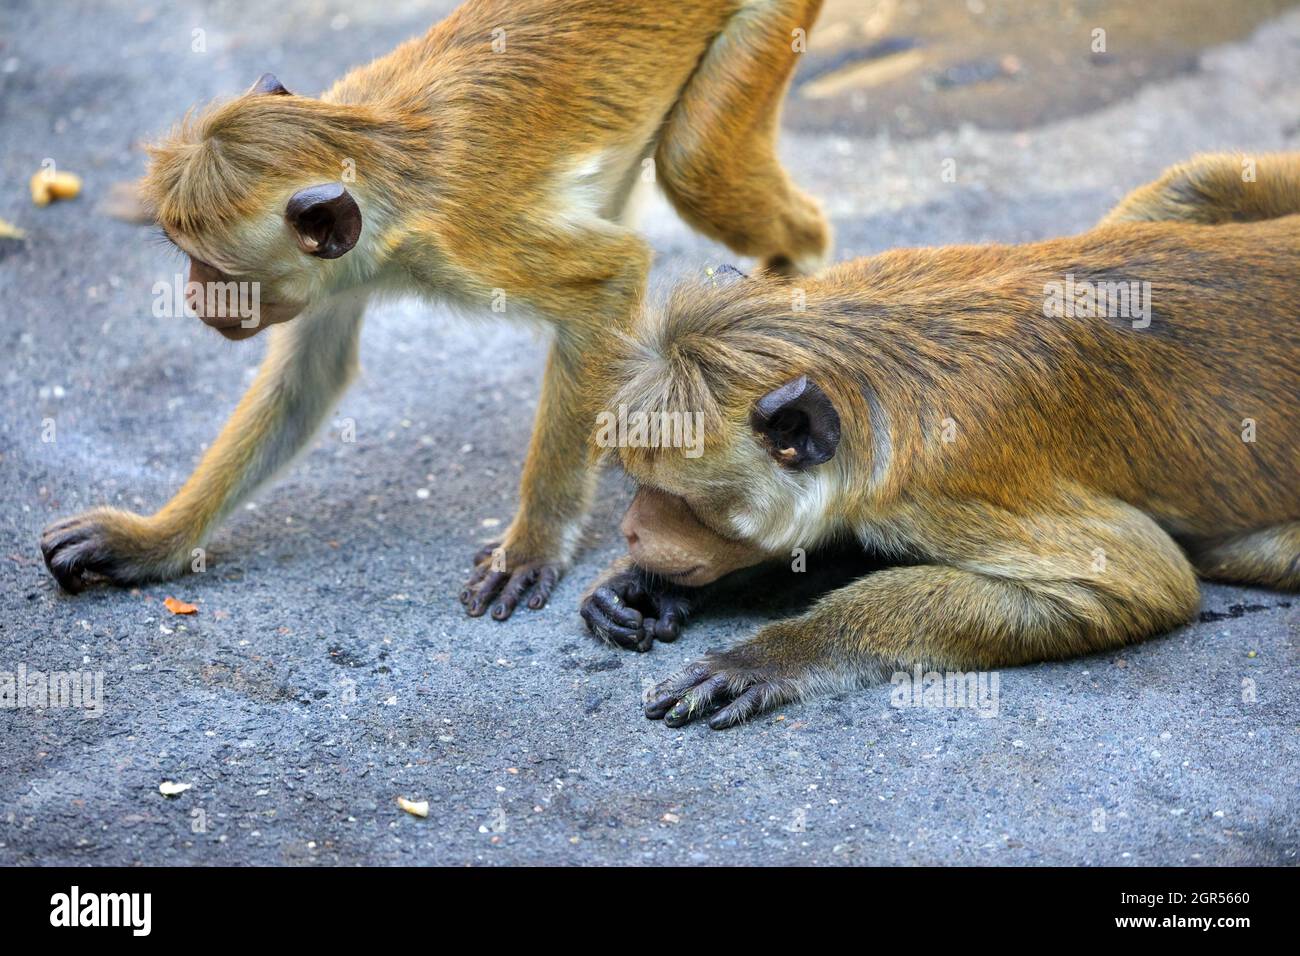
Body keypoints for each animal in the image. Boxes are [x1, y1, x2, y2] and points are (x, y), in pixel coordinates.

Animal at [39, 0, 831, 620]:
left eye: (217, 270)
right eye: (189, 260)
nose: (201, 298)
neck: (385, 166)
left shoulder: (462, 239)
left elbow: (609, 275)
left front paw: (534, 541)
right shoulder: (336, 276)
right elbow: (304, 385)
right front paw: (150, 541)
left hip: (766, 22)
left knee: (695, 167)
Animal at [580, 152, 1300, 728]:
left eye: (682, 501)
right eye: (639, 484)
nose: (633, 531)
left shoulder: (943, 487)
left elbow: (1142, 579)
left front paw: (782, 651)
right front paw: (645, 584)